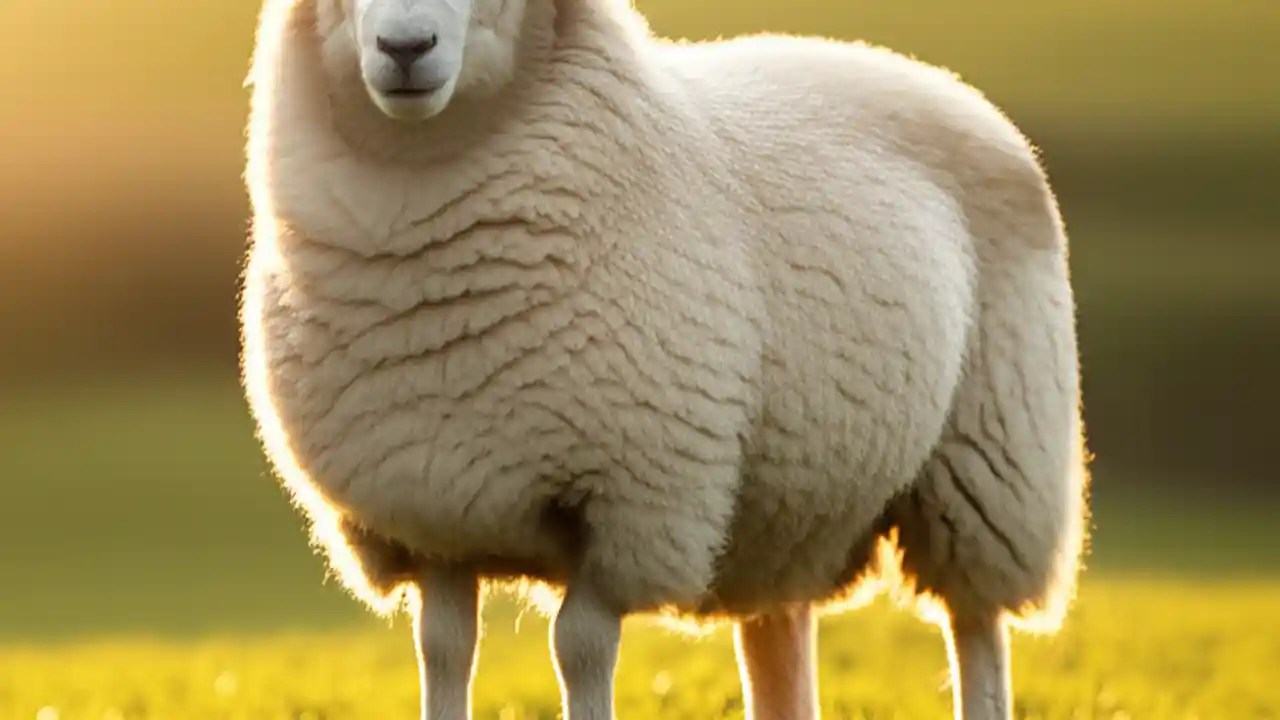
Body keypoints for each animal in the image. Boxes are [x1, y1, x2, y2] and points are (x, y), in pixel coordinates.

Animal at [240, 0, 1090, 718]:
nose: (405, 48)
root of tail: (946, 84)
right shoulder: (431, 508)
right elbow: (443, 650)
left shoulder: (630, 504)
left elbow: (579, 648)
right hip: (786, 504)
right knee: (780, 633)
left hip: (992, 467)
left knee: (975, 624)